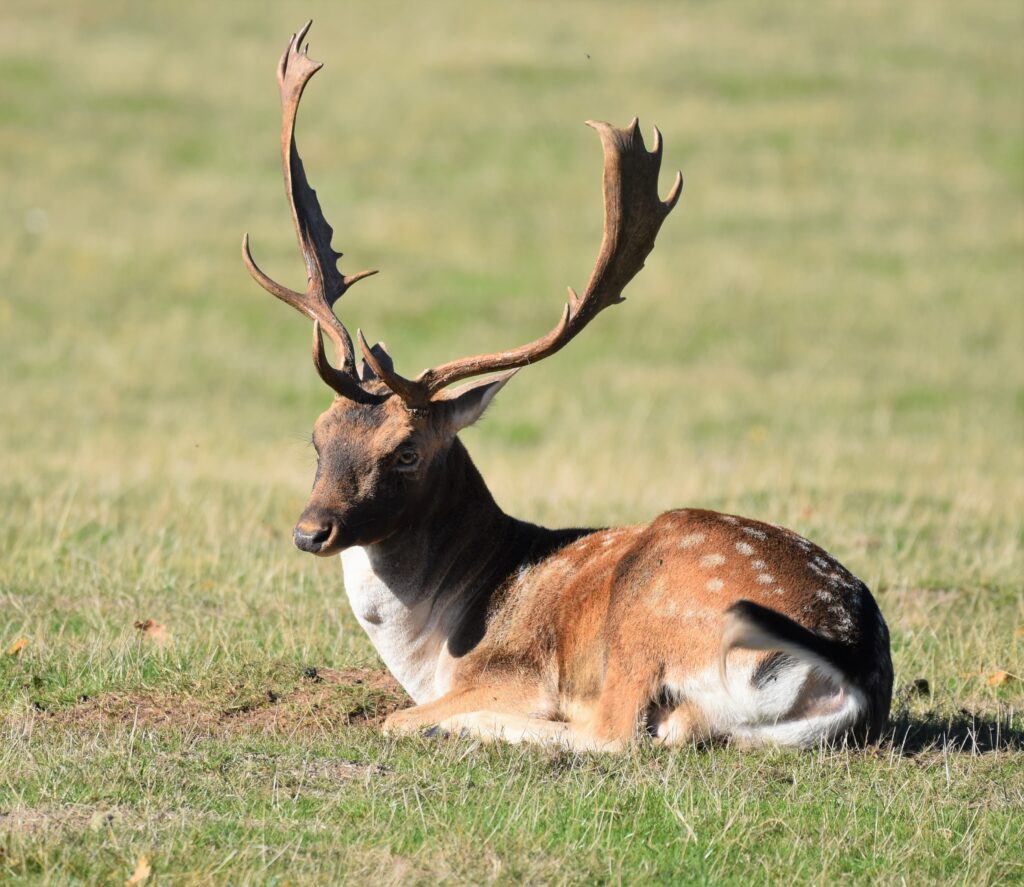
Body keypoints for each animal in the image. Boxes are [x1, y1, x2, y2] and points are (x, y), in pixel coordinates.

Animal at [242, 22, 893, 752]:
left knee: (611, 730)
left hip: (655, 601)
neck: (434, 645)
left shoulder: (509, 666)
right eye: (316, 436)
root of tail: (854, 662)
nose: (310, 531)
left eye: (406, 449)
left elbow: (406, 712)